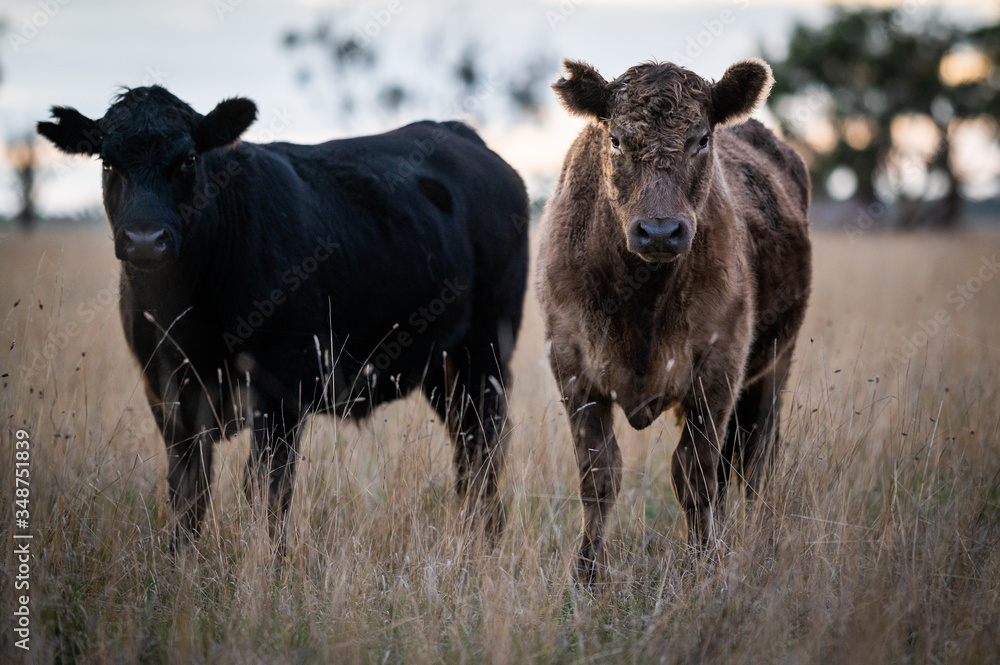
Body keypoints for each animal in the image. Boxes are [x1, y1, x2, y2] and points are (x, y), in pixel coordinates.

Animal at [37, 86, 529, 553]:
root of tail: (467, 139)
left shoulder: (281, 390)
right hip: (440, 368)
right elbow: (188, 493)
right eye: (107, 161)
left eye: (188, 159)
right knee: (467, 451)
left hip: (485, 352)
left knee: (484, 448)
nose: (144, 238)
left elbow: (268, 492)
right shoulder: (165, 390)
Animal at [536, 58, 811, 584]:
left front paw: (703, 564)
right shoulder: (571, 364)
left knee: (757, 458)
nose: (660, 231)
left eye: (701, 138)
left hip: (777, 364)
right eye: (616, 139)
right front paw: (586, 575)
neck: (642, 299)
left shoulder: (721, 365)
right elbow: (598, 475)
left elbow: (695, 473)